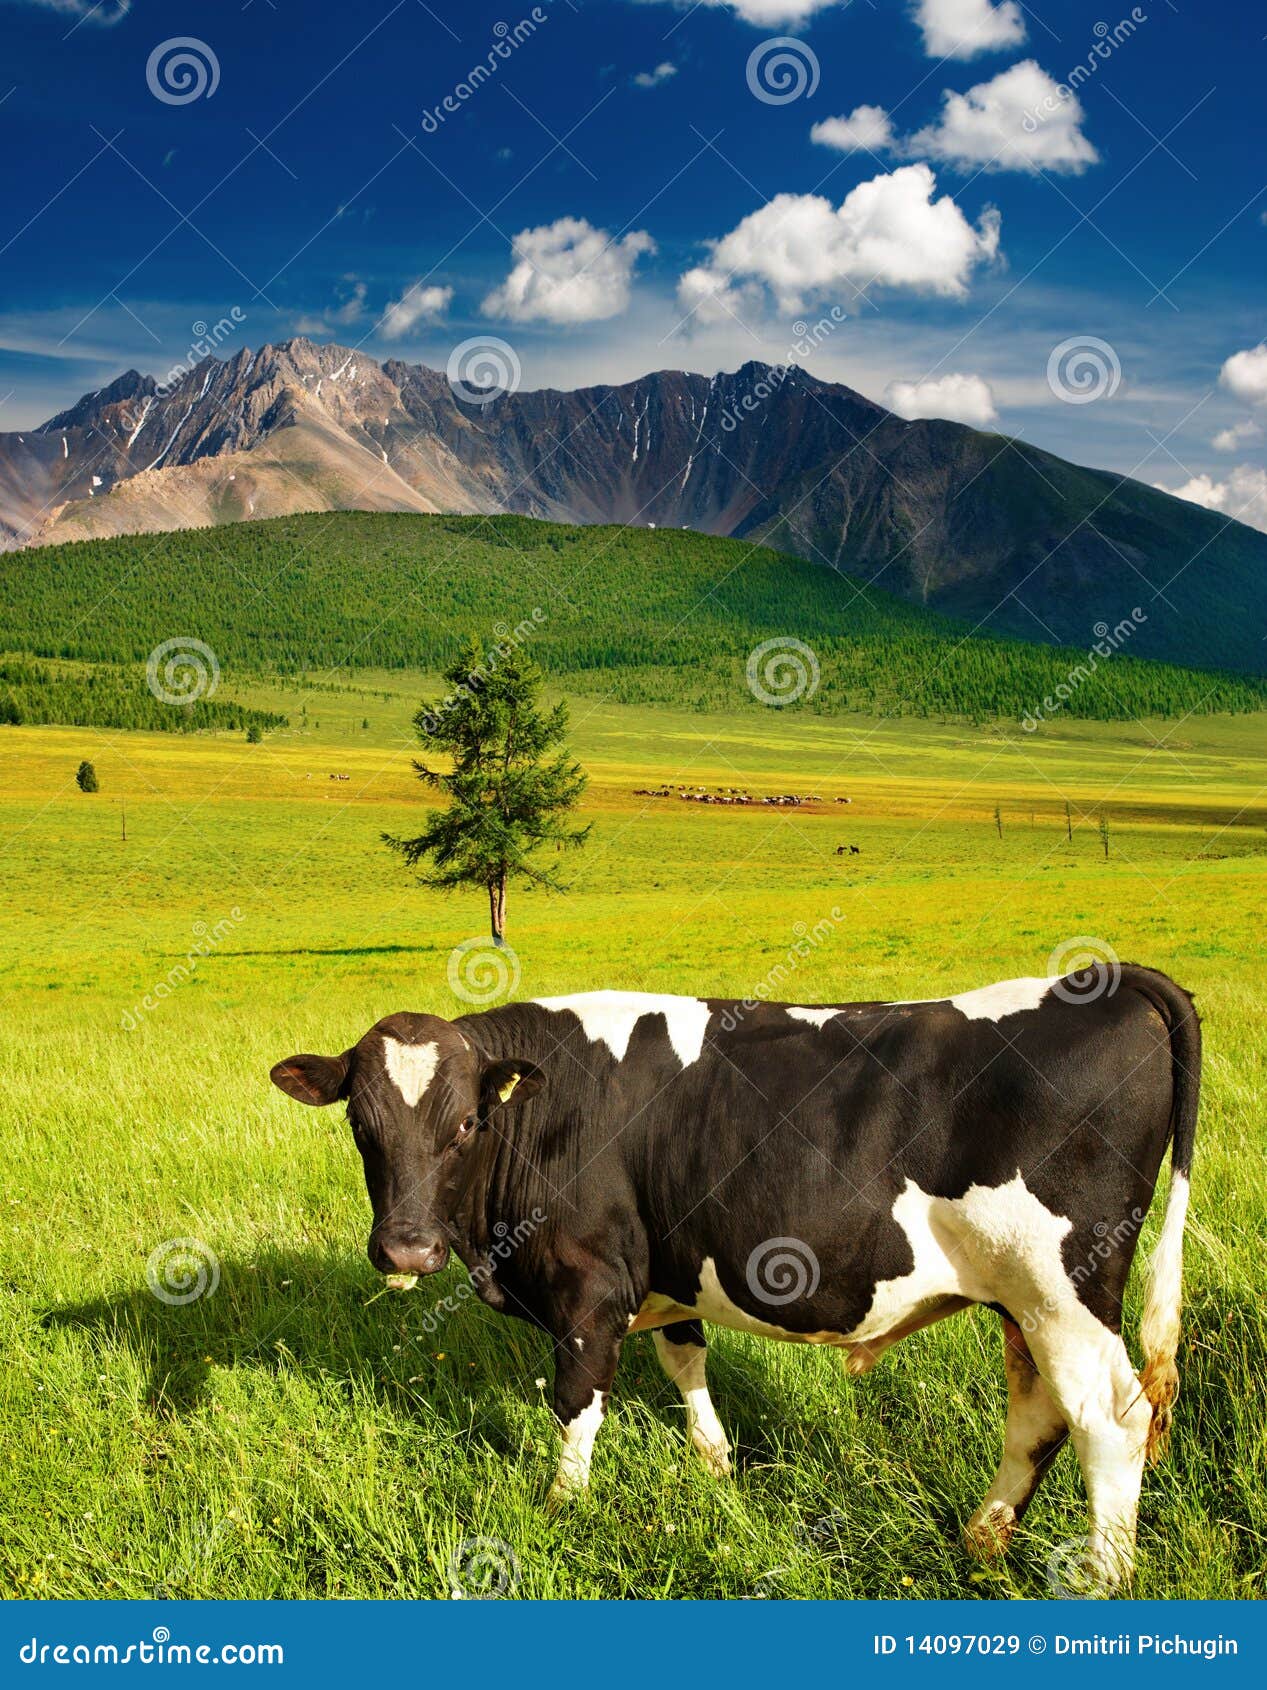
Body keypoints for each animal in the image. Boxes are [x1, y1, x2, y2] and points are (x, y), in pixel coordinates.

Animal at [270, 964, 1198, 1589]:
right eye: (361, 1125)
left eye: (465, 1123)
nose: (406, 1251)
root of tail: (1102, 978)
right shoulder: (666, 1268)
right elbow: (685, 1360)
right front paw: (716, 1468)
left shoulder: (589, 1285)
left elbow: (576, 1403)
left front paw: (559, 1510)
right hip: (1023, 1302)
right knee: (1037, 1417)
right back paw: (981, 1539)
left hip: (1064, 1291)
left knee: (1109, 1420)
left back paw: (1100, 1577)